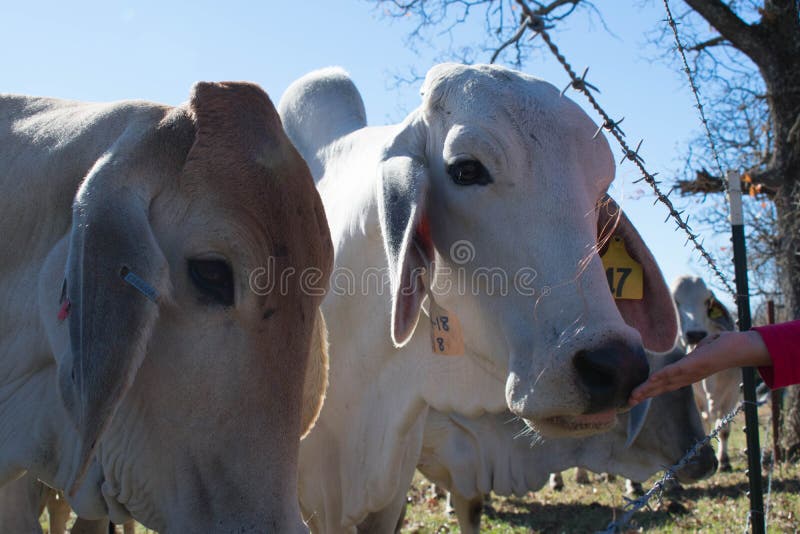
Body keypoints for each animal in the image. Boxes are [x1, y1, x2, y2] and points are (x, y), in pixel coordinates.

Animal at [672, 275, 737, 471]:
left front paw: (724, 462)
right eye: (675, 300)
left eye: (707, 300)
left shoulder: (732, 394)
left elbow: (724, 429)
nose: (695, 334)